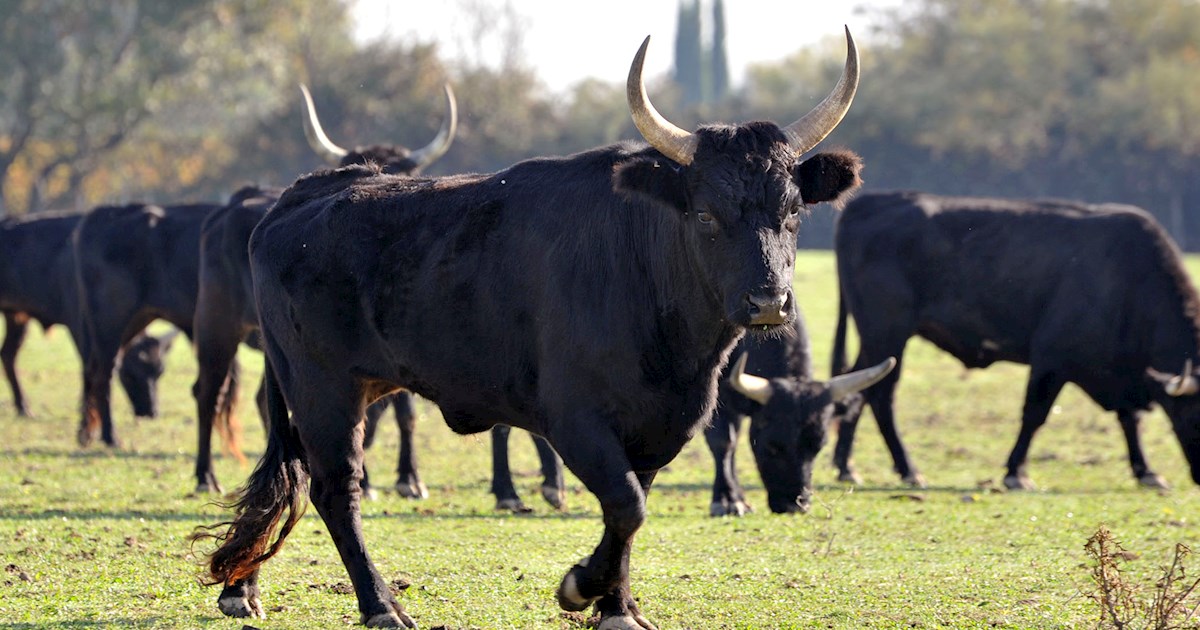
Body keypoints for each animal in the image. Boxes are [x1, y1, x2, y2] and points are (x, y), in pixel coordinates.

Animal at [0, 211, 170, 418]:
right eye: (130, 374)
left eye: (159, 371)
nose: (150, 412)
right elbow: (87, 364)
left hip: (16, 316)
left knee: (8, 354)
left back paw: (23, 407)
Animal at [705, 311, 893, 516]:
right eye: (772, 446)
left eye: (819, 446)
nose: (794, 505)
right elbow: (723, 441)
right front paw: (727, 500)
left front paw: (738, 497)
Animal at [831, 191, 1200, 491]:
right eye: (1197, 414)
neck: (1130, 281)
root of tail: (867, 204)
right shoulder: (1051, 359)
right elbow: (1034, 415)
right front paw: (1016, 473)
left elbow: (1130, 420)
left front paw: (1146, 472)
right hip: (888, 333)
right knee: (880, 396)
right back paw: (908, 469)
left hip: (876, 341)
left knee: (856, 387)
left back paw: (847, 466)